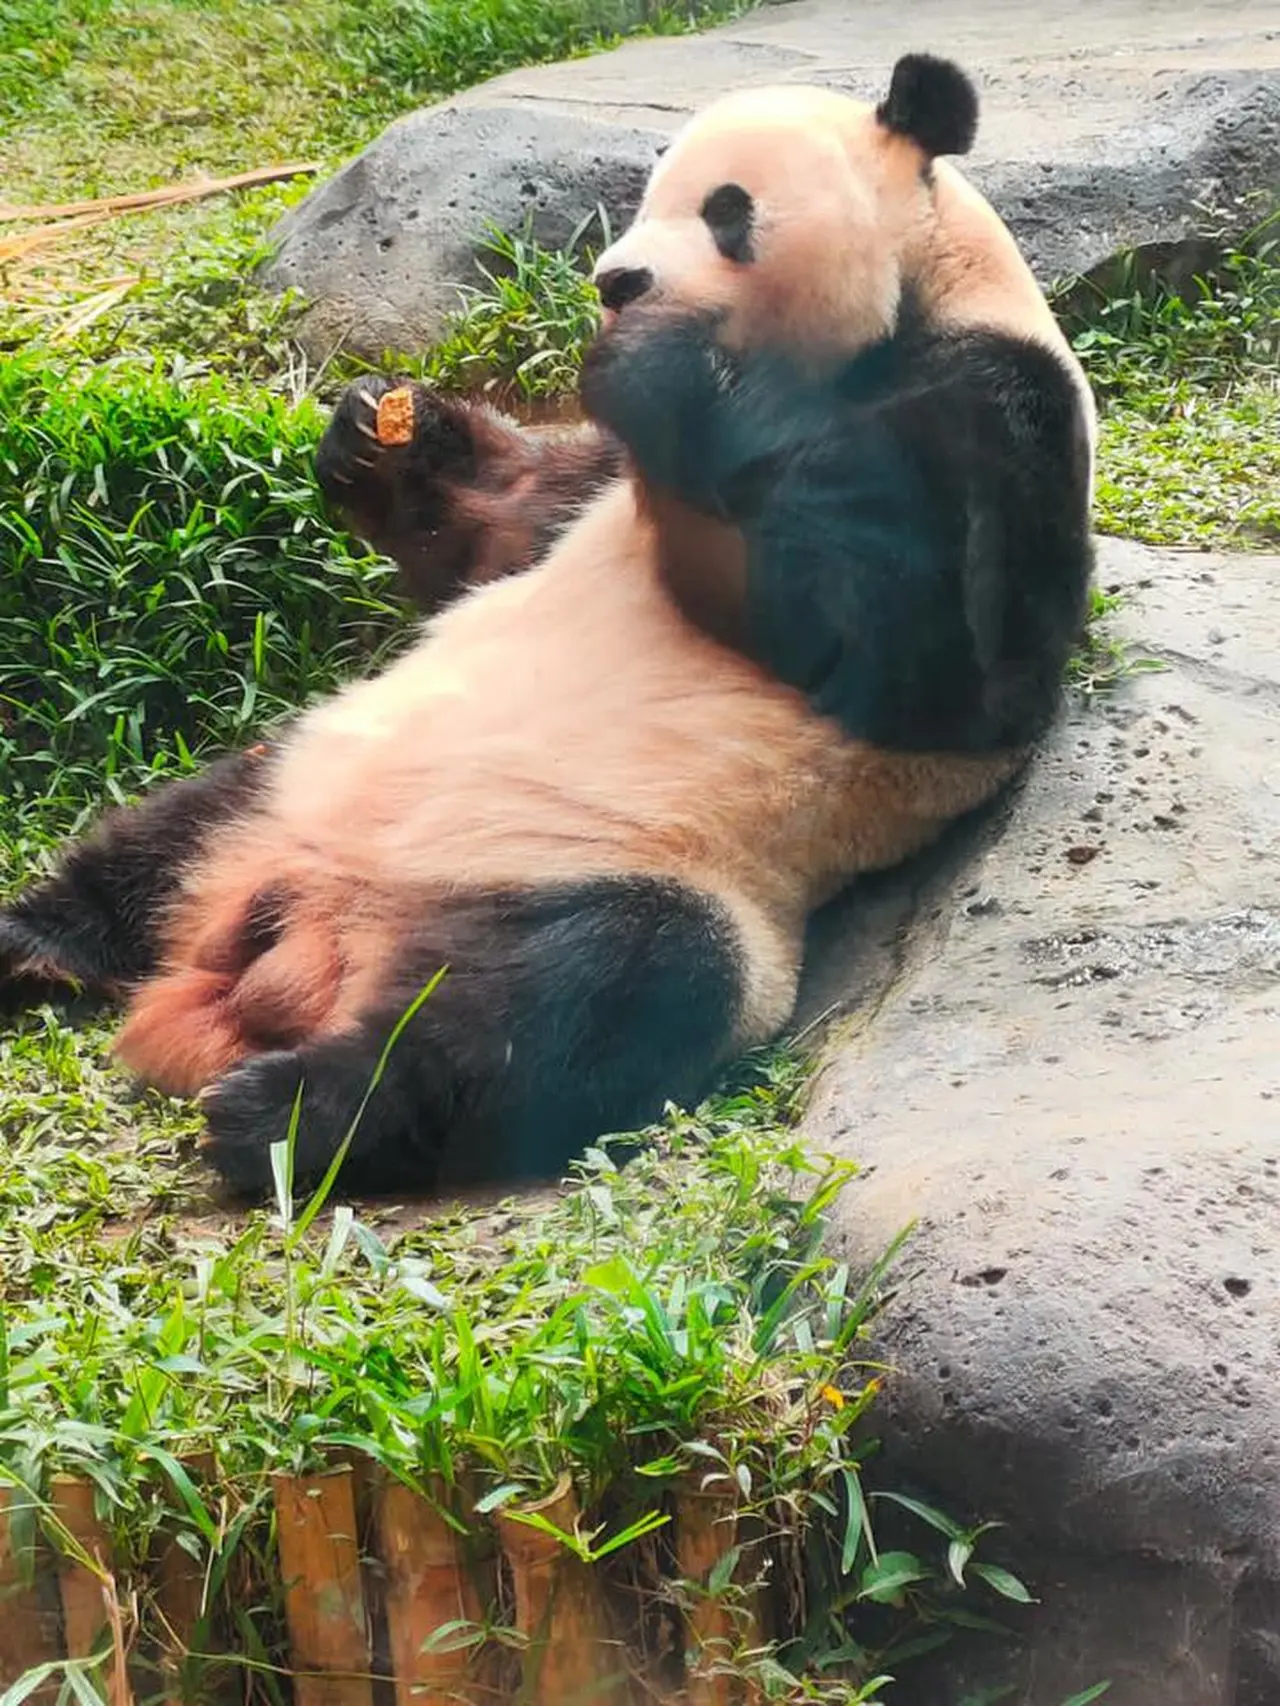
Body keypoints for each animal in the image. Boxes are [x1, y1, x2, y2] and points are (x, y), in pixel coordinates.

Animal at [0, 55, 1095, 1198]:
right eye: (644, 199)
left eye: (726, 210)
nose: (616, 283)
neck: (908, 307)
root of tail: (304, 936)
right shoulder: (602, 485)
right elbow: (506, 532)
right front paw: (383, 433)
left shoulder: (989, 408)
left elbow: (919, 656)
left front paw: (659, 369)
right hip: (296, 775)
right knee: (155, 840)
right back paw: (32, 943)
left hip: (635, 873)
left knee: (568, 1003)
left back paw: (284, 1113)